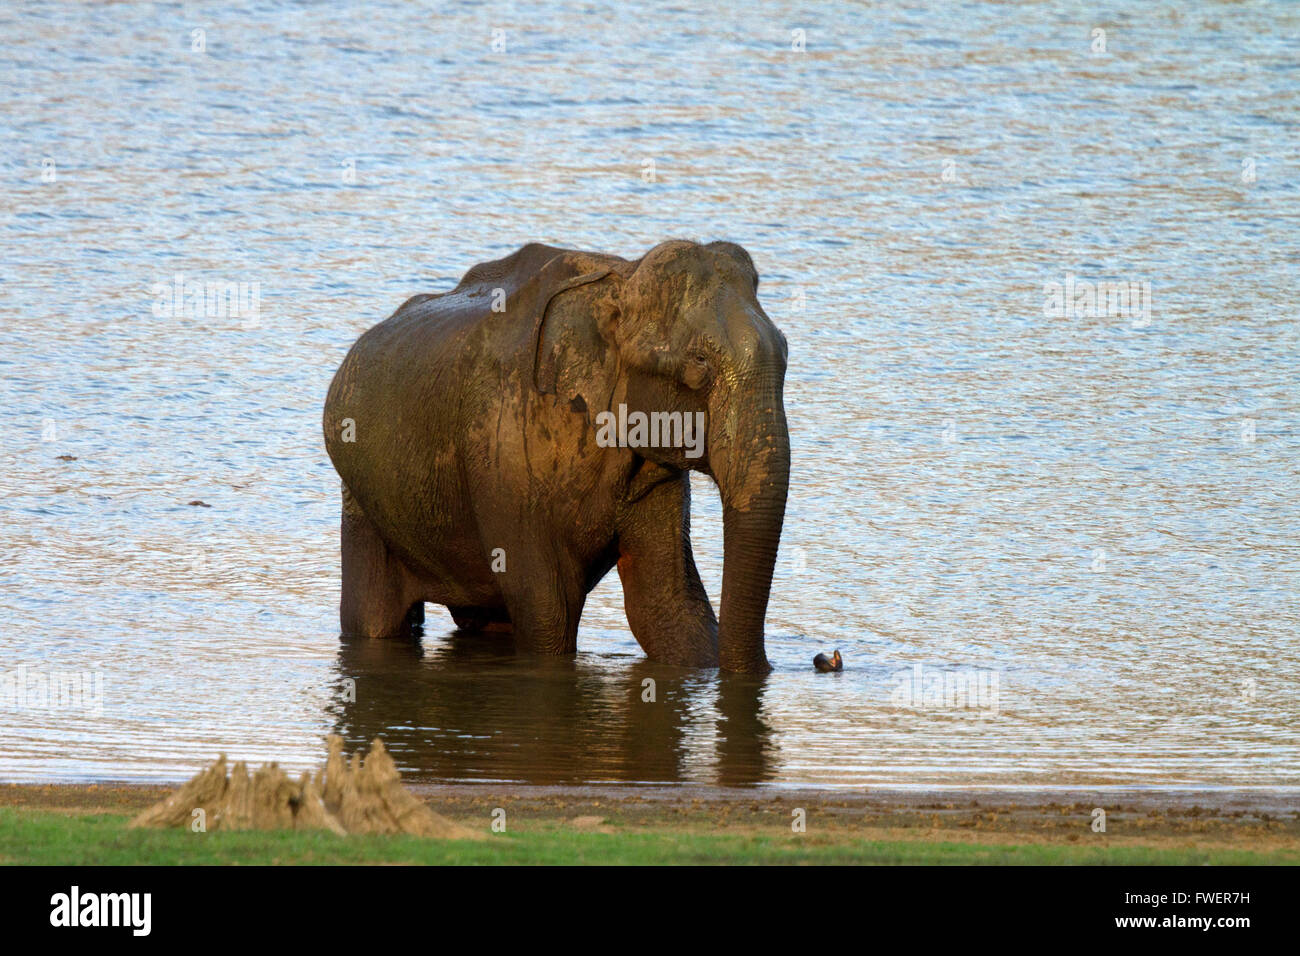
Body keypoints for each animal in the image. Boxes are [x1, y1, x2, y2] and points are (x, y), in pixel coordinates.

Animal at [322, 239, 790, 673]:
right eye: (698, 363)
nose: (777, 666)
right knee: (374, 621)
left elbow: (668, 607)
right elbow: (548, 613)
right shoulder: (504, 449)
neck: (624, 278)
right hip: (362, 498)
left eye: (786, 353)